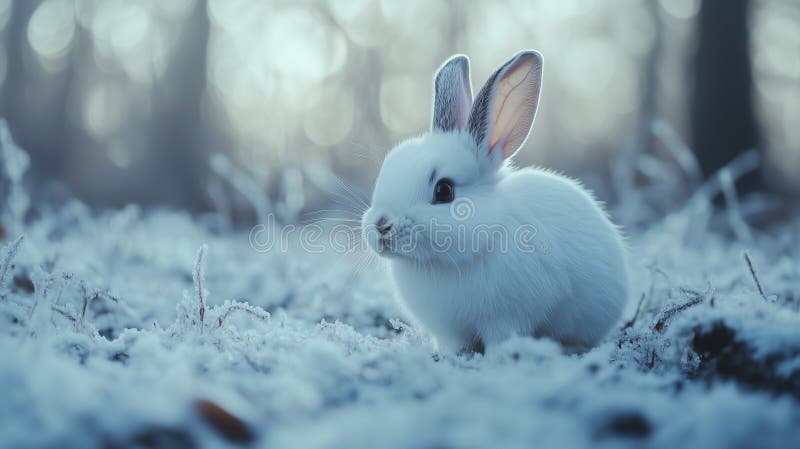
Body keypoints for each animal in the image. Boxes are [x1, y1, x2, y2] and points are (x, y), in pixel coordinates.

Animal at [362, 50, 629, 354]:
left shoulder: (509, 316)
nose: (382, 225)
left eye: (444, 191)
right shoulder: (449, 329)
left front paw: (500, 356)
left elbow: (503, 337)